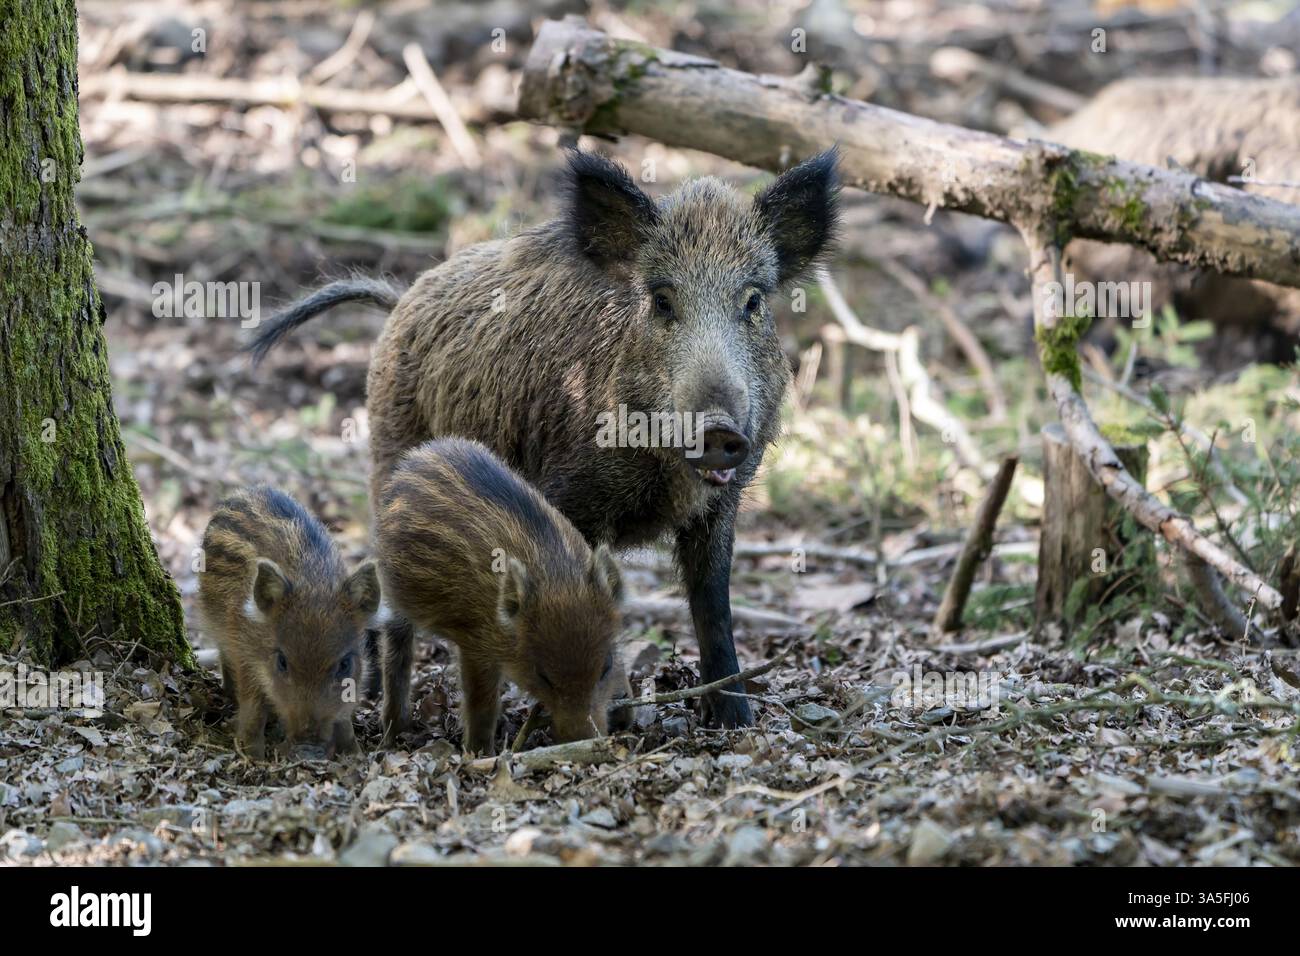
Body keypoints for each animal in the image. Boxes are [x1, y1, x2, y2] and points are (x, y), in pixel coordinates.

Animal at [198, 485, 381, 759]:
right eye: (282, 662)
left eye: (345, 664)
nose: (308, 744)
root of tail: (245, 491)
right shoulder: (244, 647)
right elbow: (253, 705)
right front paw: (253, 756)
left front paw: (354, 754)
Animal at [374, 437, 624, 754]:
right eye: (543, 676)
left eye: (607, 667)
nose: (587, 741)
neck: (556, 575)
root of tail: (420, 453)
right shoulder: (475, 640)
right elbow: (482, 702)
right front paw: (480, 753)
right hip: (393, 597)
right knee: (396, 654)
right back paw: (393, 734)